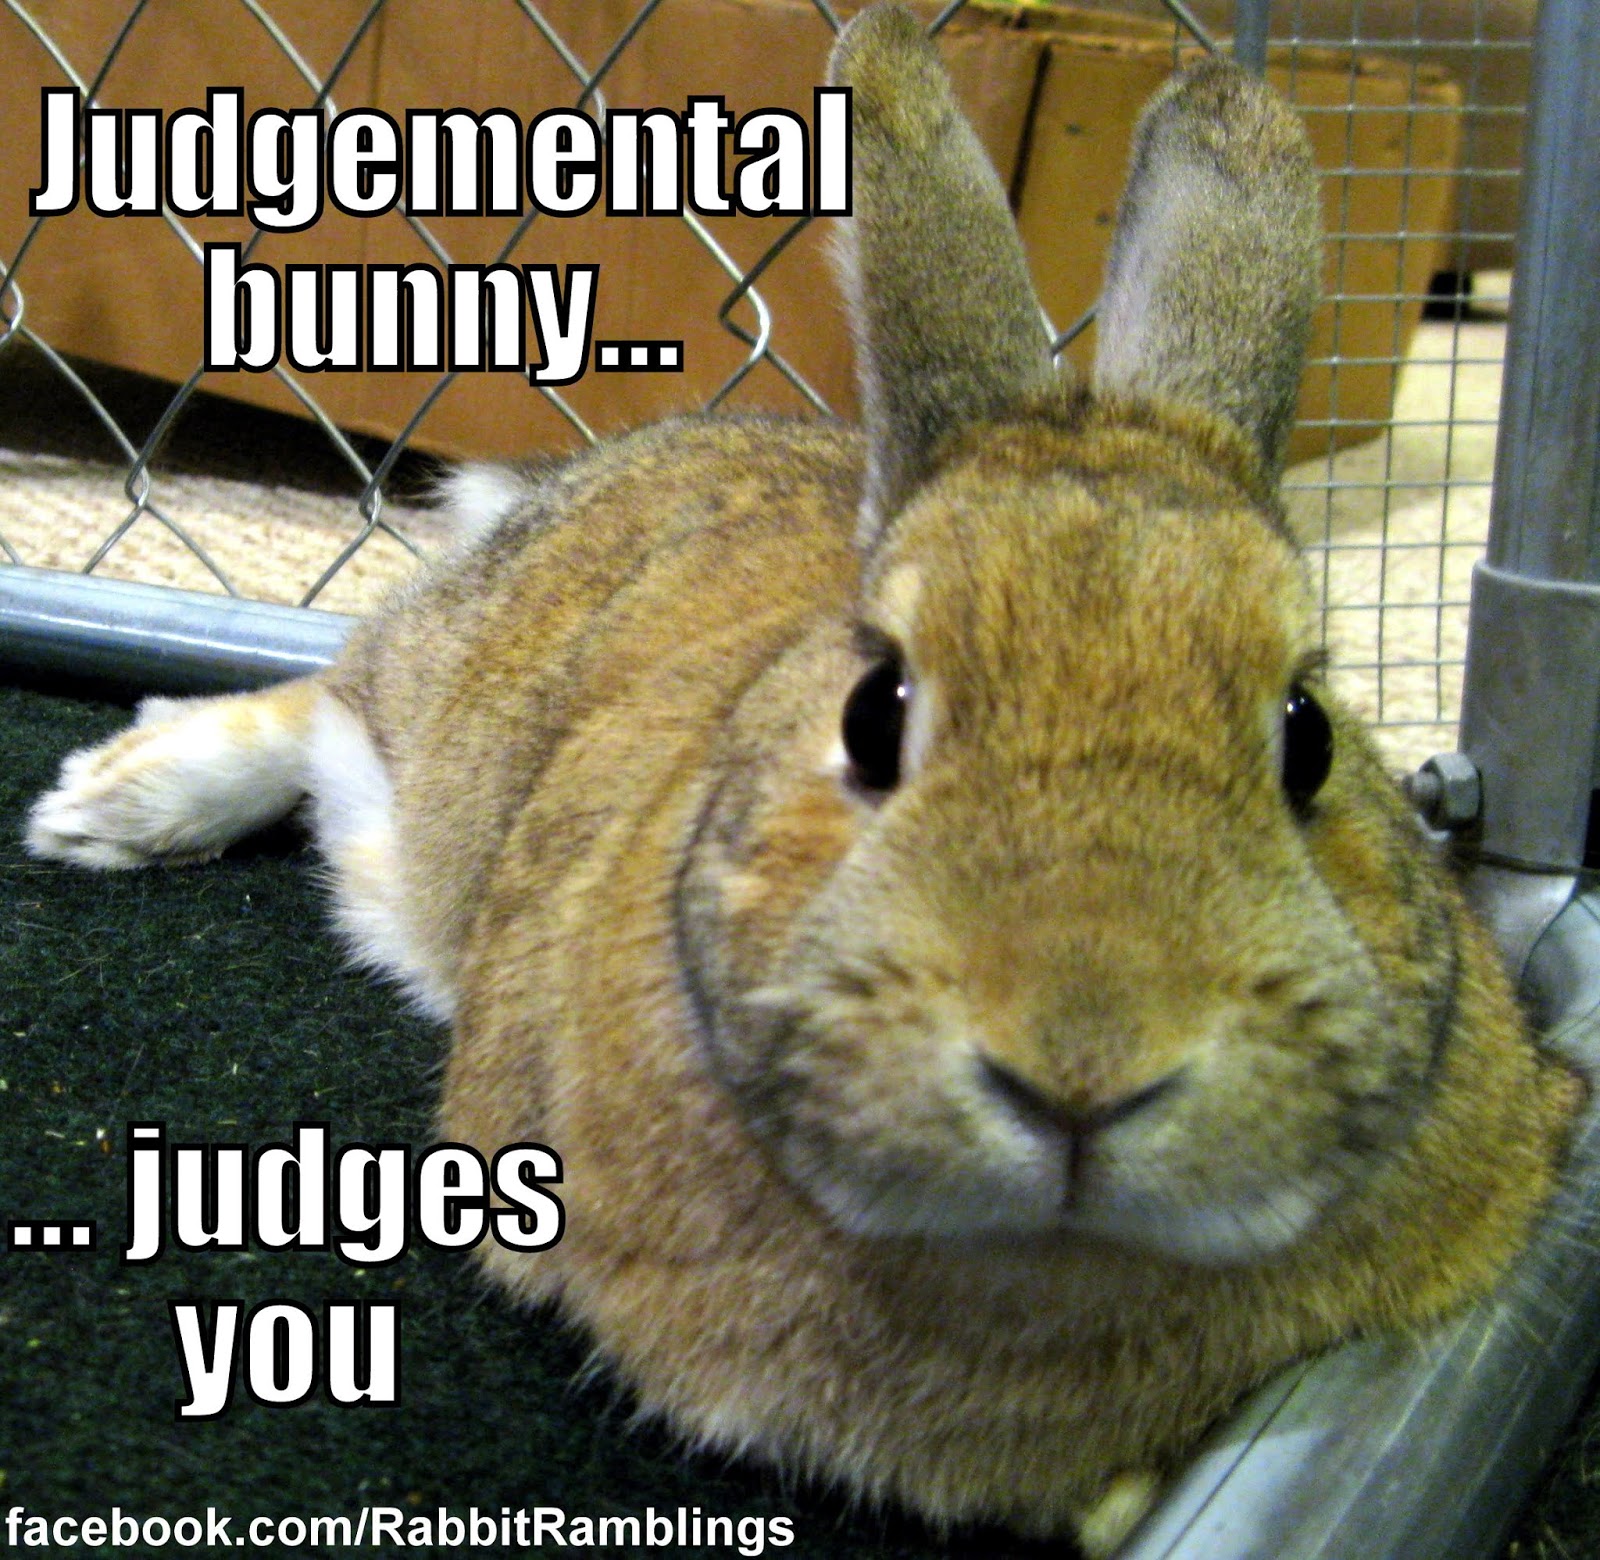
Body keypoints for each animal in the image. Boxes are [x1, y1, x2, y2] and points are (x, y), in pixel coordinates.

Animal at [25, 4, 1581, 1552]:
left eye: (1307, 732)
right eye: (874, 712)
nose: (1082, 1070)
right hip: (438, 694)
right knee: (324, 695)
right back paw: (108, 804)